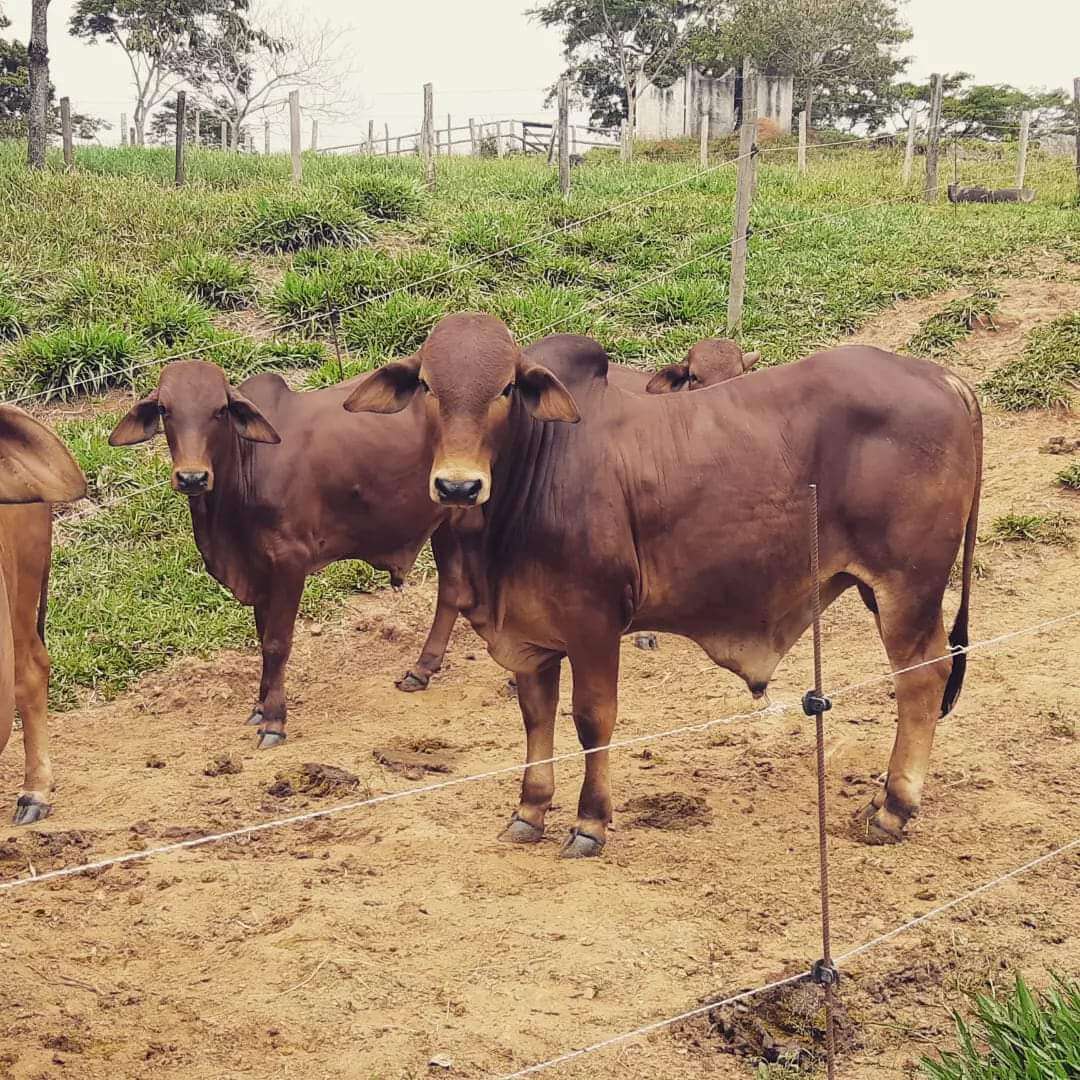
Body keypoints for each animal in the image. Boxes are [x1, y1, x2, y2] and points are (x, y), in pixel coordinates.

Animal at [108, 360, 461, 747]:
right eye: (164, 410)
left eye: (220, 411)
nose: (192, 478)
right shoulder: (259, 569)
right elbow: (263, 636)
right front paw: (260, 707)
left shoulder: (290, 562)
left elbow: (277, 643)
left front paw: (275, 719)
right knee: (452, 592)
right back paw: (421, 670)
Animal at [343, 315, 982, 858]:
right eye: (428, 386)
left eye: (505, 390)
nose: (457, 486)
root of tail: (946, 378)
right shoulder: (531, 631)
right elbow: (536, 716)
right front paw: (529, 811)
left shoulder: (594, 619)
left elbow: (592, 718)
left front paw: (589, 823)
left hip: (908, 586)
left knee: (923, 676)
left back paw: (894, 807)